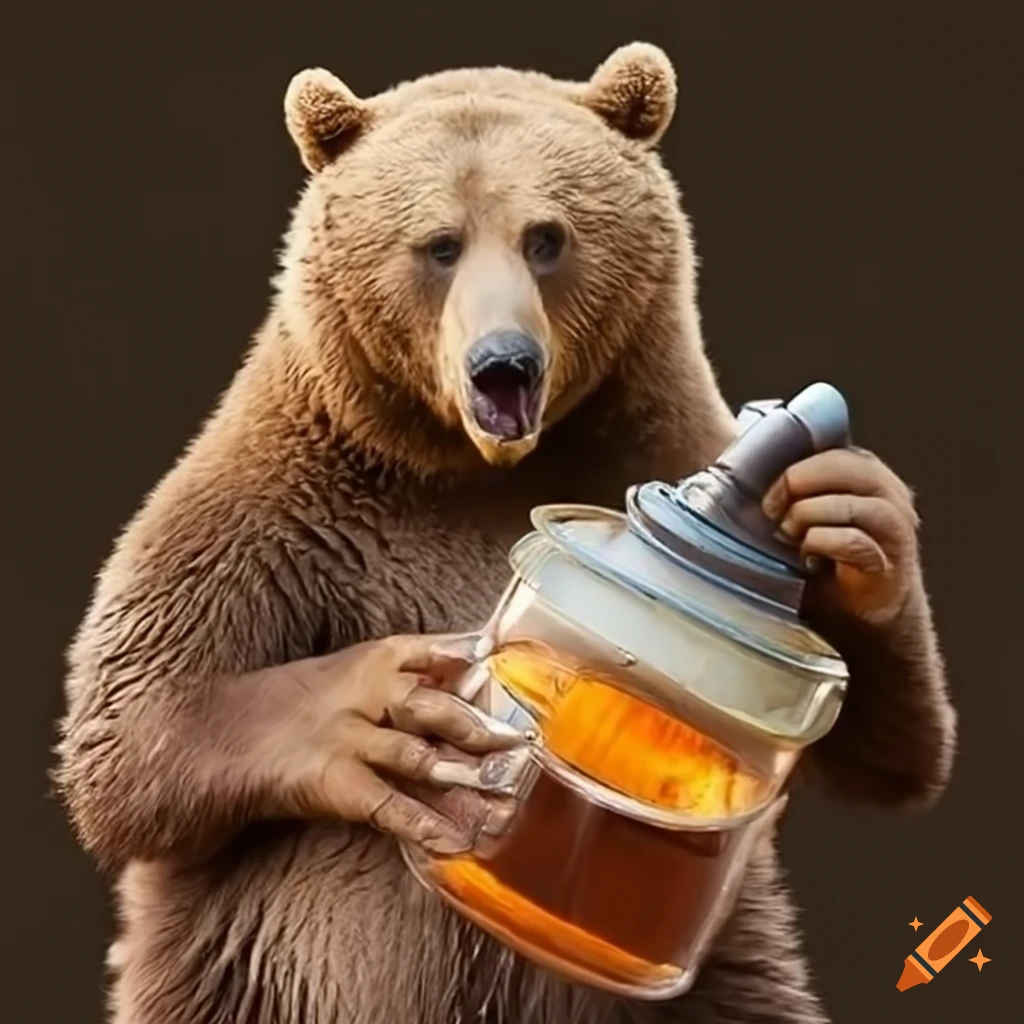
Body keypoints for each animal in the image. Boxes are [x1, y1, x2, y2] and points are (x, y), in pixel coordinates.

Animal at [55, 42, 956, 1024]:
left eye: (546, 237)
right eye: (439, 245)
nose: (504, 360)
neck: (477, 470)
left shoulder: (661, 438)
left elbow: (894, 754)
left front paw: (852, 527)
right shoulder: (284, 500)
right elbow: (133, 727)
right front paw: (393, 713)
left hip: (732, 975)